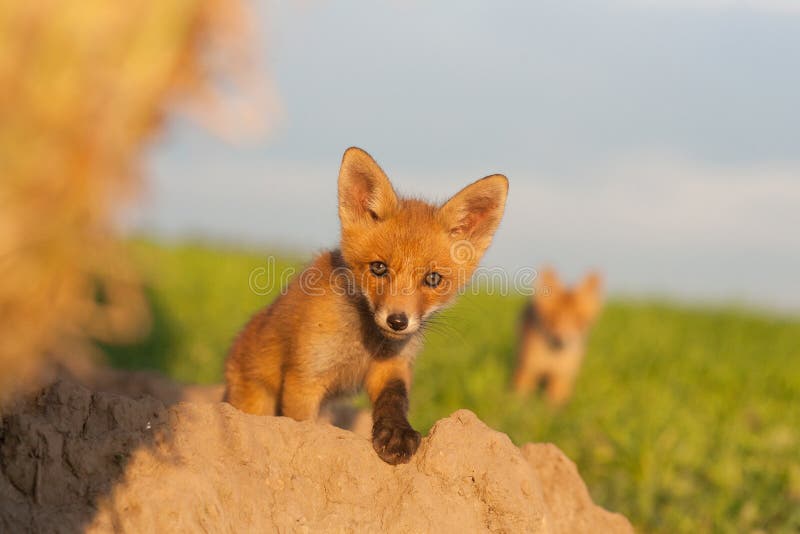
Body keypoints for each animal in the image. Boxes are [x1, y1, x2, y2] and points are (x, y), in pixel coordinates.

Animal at [224, 147, 508, 464]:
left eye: (433, 279)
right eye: (378, 268)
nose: (397, 321)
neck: (364, 345)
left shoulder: (390, 366)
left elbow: (394, 399)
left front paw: (396, 433)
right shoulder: (305, 377)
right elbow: (301, 423)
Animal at [512, 268, 603, 405]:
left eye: (578, 319)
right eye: (553, 316)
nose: (561, 341)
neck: (553, 357)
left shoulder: (560, 376)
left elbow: (553, 403)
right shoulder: (530, 368)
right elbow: (520, 398)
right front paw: (517, 407)